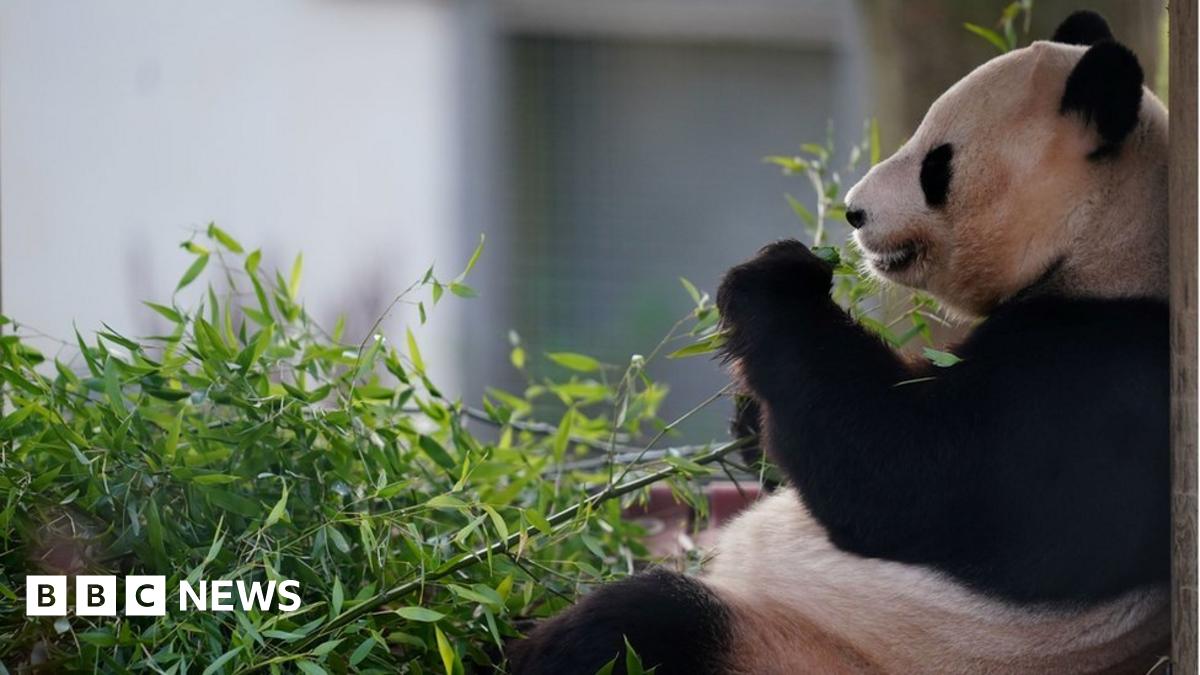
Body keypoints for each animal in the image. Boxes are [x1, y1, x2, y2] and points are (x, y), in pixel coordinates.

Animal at [507, 11, 1169, 674]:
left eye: (937, 165)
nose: (853, 212)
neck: (1105, 245)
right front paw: (746, 418)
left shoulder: (1092, 378)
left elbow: (905, 473)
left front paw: (778, 279)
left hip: (797, 650)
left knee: (639, 626)